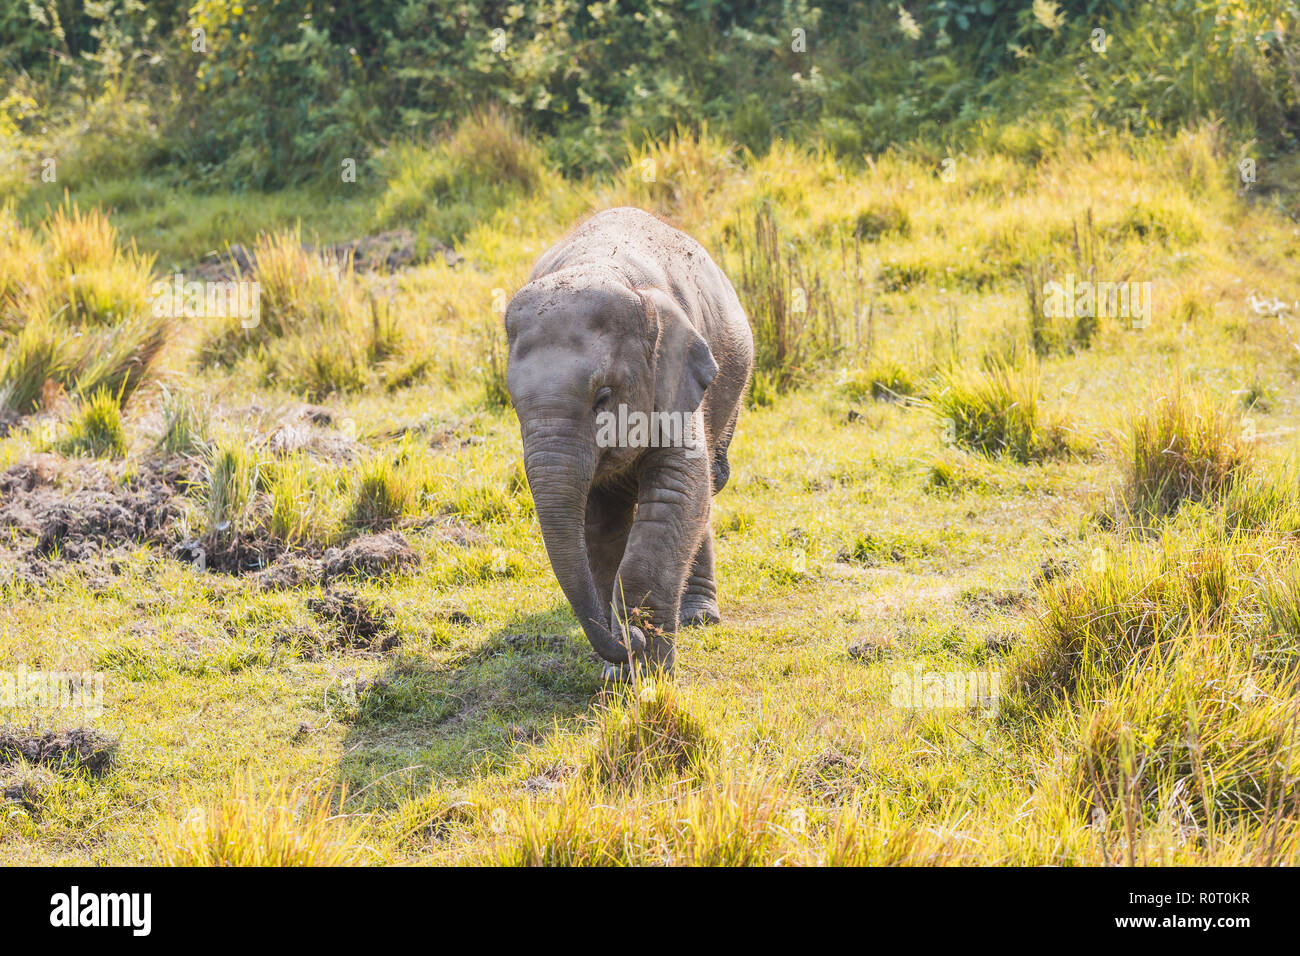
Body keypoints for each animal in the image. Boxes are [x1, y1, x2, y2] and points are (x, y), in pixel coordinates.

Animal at [505, 207, 754, 679]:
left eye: (603, 396)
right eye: (513, 404)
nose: (628, 639)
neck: (602, 267)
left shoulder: (674, 380)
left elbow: (678, 489)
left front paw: (651, 673)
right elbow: (598, 528)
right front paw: (622, 672)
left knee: (708, 484)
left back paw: (699, 617)